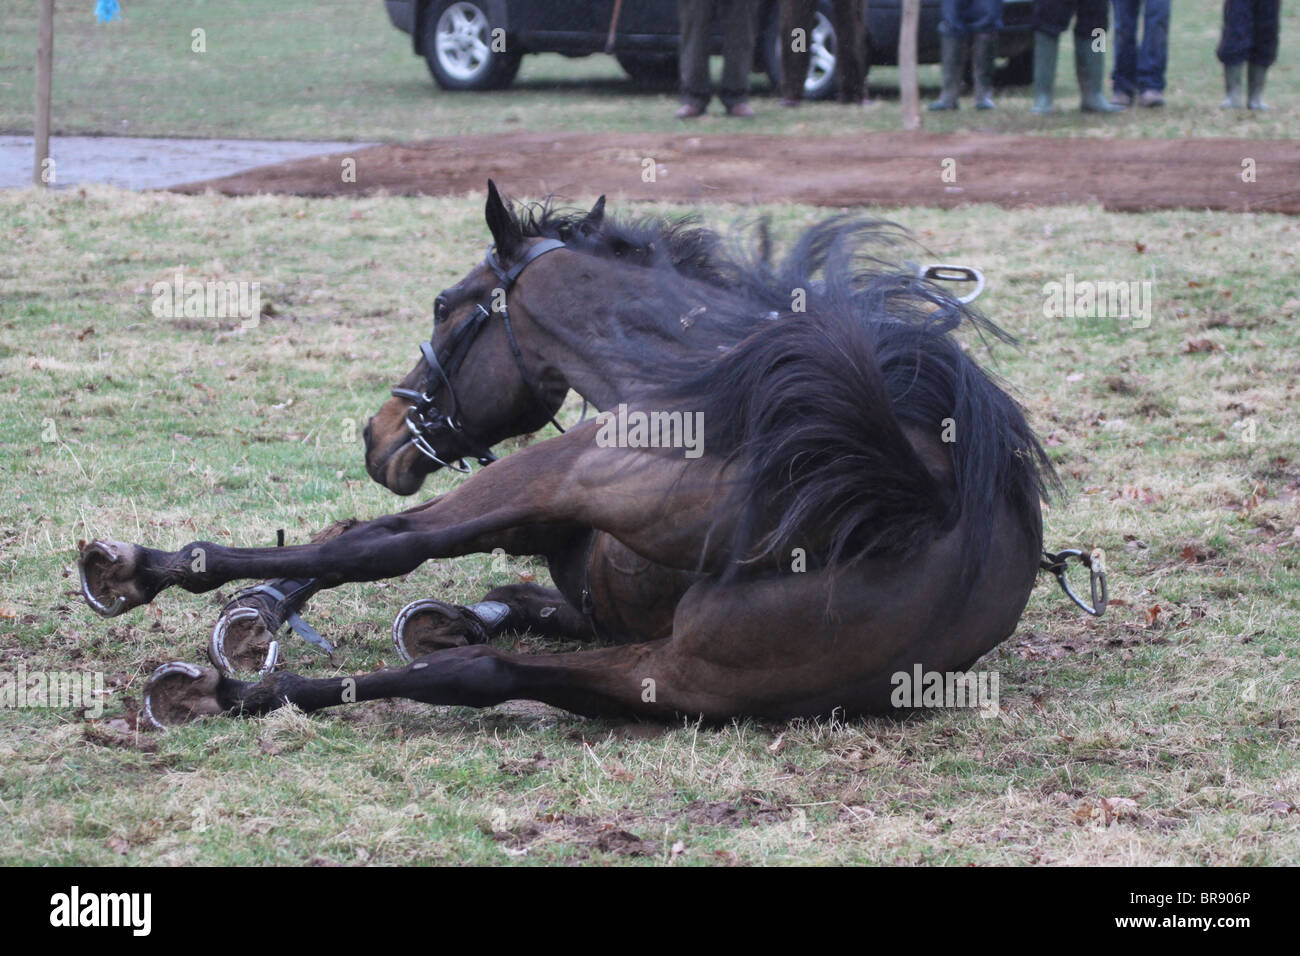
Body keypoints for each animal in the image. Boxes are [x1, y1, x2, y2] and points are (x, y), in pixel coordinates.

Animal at [78, 181, 1063, 729]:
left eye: (446, 305)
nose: (379, 435)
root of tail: (923, 503)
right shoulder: (577, 563)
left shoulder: (542, 490)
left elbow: (378, 540)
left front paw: (159, 575)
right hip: (691, 680)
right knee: (489, 673)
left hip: (578, 495)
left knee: (412, 573)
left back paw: (209, 683)